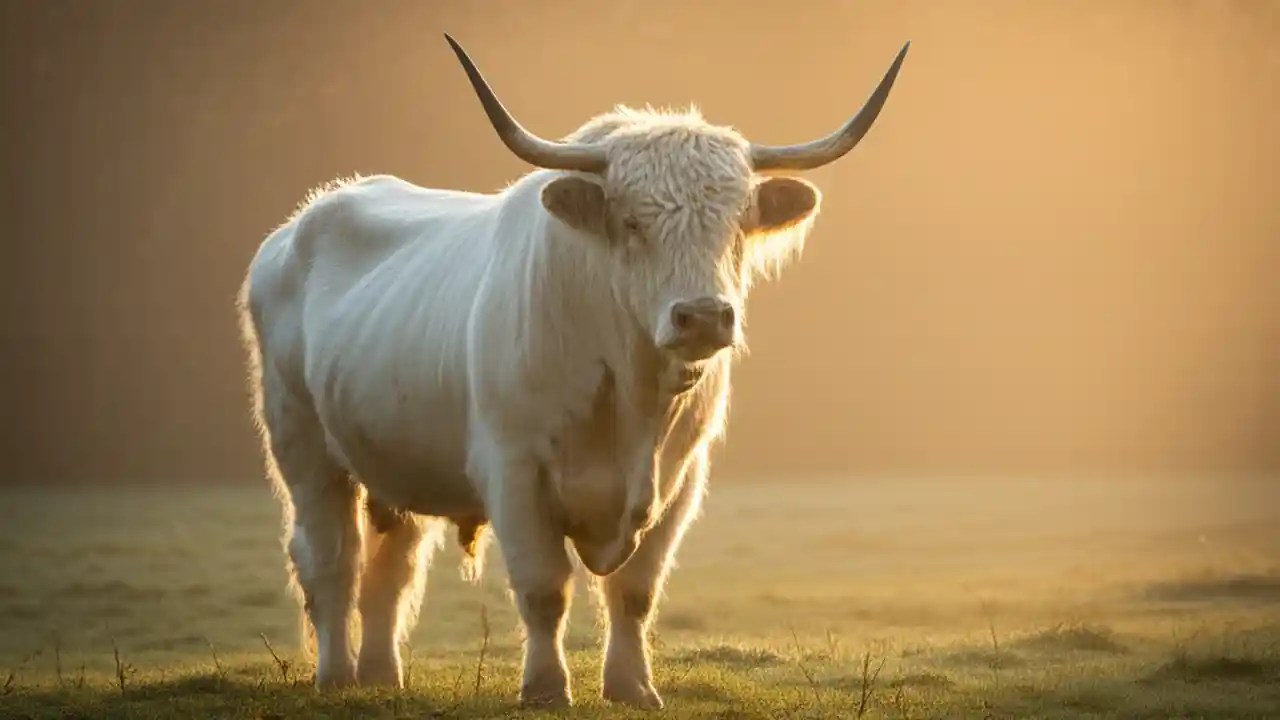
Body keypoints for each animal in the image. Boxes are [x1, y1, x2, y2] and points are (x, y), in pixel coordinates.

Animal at [237, 34, 908, 709]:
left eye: (737, 222)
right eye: (633, 222)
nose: (702, 317)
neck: (633, 394)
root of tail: (298, 226)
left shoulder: (681, 479)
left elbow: (635, 592)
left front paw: (633, 686)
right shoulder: (513, 470)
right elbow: (542, 588)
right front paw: (544, 687)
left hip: (394, 460)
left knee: (392, 569)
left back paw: (381, 677)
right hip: (302, 447)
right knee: (330, 559)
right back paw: (334, 676)